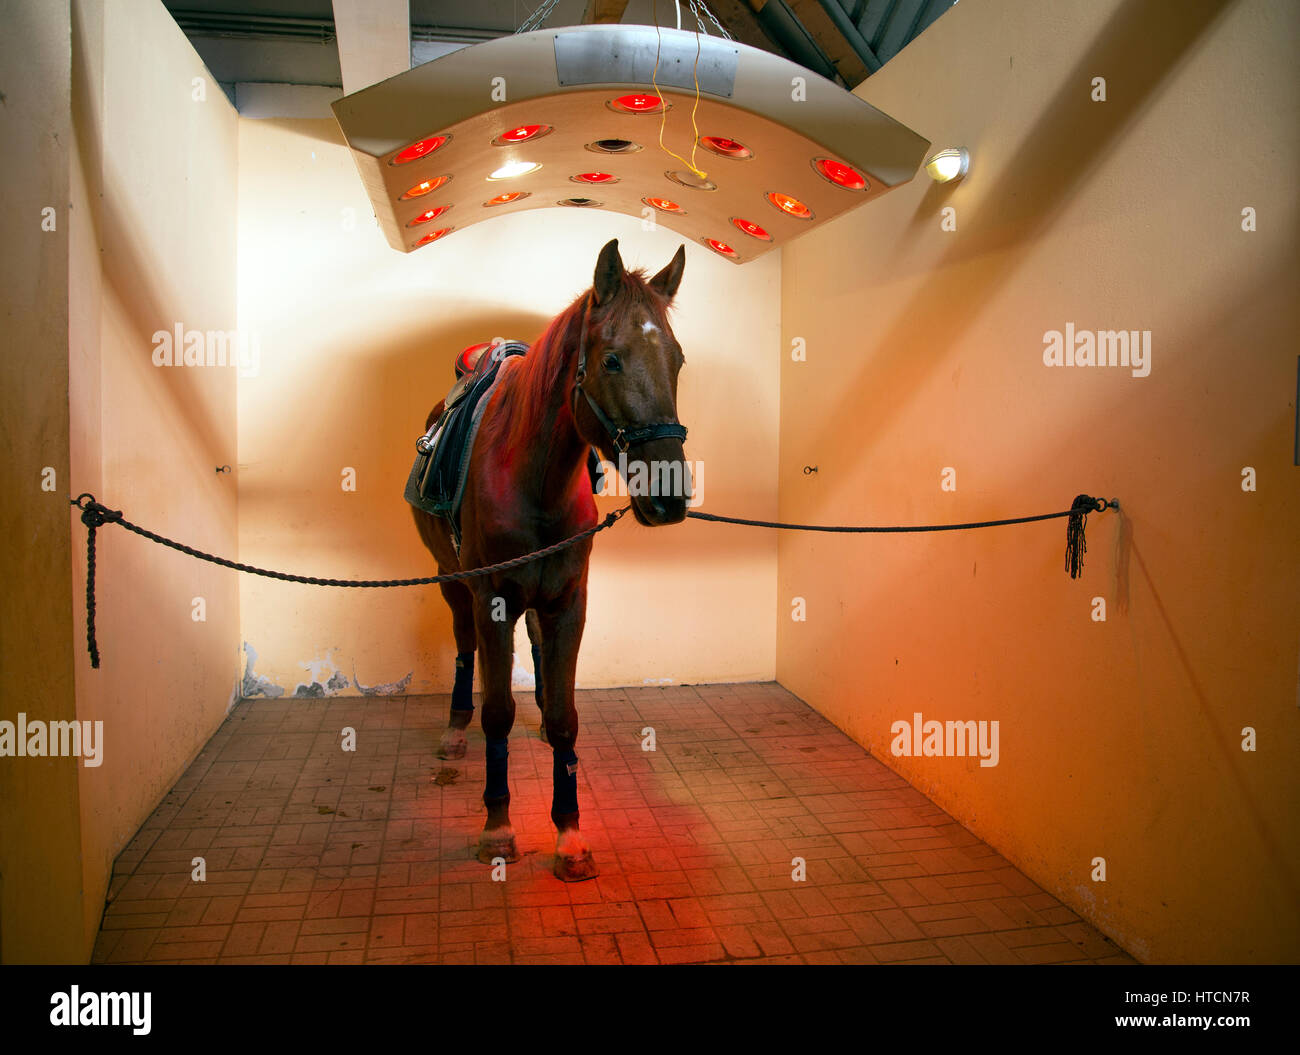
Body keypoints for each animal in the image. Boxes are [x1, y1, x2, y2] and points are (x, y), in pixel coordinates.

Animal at [411, 238, 691, 881]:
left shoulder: (569, 601)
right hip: (450, 581)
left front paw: (569, 833)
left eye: (678, 361)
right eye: (611, 360)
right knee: (463, 647)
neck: (536, 479)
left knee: (535, 644)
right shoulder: (490, 599)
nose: (668, 497)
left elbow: (566, 716)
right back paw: (455, 730)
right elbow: (496, 711)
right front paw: (497, 826)